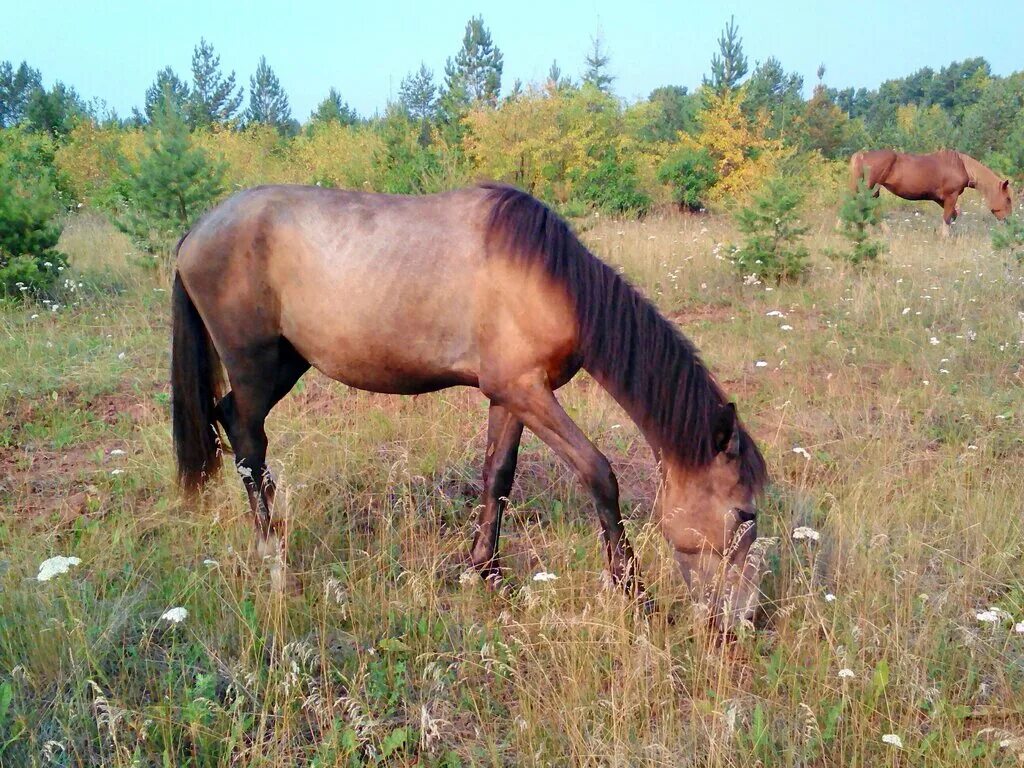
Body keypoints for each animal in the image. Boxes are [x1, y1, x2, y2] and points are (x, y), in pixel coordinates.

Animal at [172, 183, 770, 626]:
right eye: (744, 515)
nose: (743, 619)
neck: (544, 277)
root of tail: (197, 231)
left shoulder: (509, 396)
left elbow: (498, 476)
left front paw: (484, 572)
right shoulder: (527, 392)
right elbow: (599, 473)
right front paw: (634, 593)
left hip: (285, 363)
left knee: (232, 424)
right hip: (255, 364)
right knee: (246, 438)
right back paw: (275, 561)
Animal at [847, 148, 1015, 236]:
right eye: (1008, 199)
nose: (1008, 221)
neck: (961, 165)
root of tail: (862, 155)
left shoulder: (940, 199)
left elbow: (953, 215)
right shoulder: (951, 196)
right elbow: (947, 217)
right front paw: (945, 237)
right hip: (869, 189)